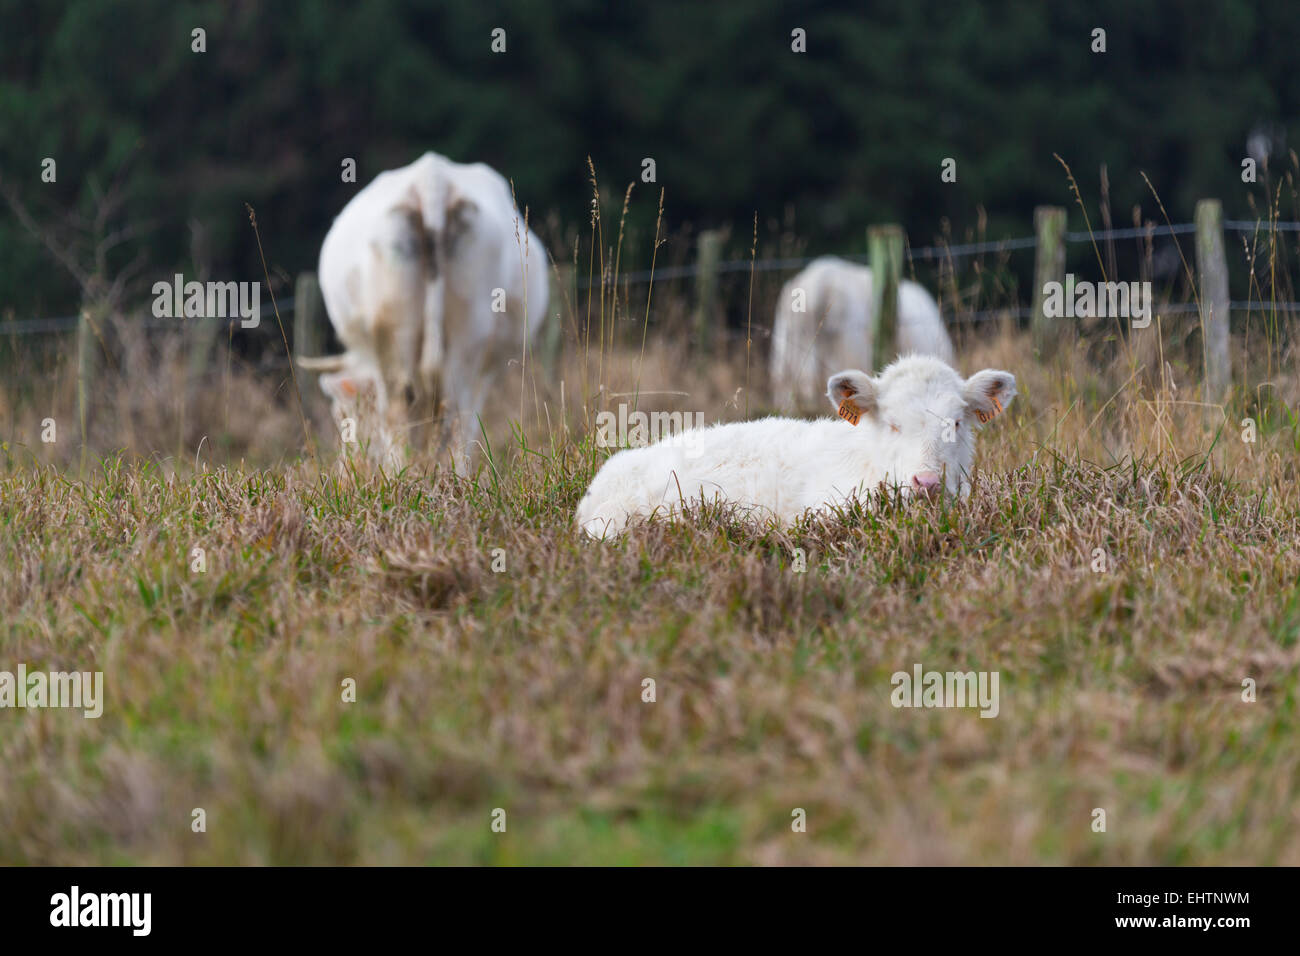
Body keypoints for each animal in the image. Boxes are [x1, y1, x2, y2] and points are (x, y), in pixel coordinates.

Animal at [299, 152, 549, 471]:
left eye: (342, 413)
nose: (348, 469)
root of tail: (432, 177)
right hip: (467, 331)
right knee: (449, 411)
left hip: (398, 331)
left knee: (410, 407)